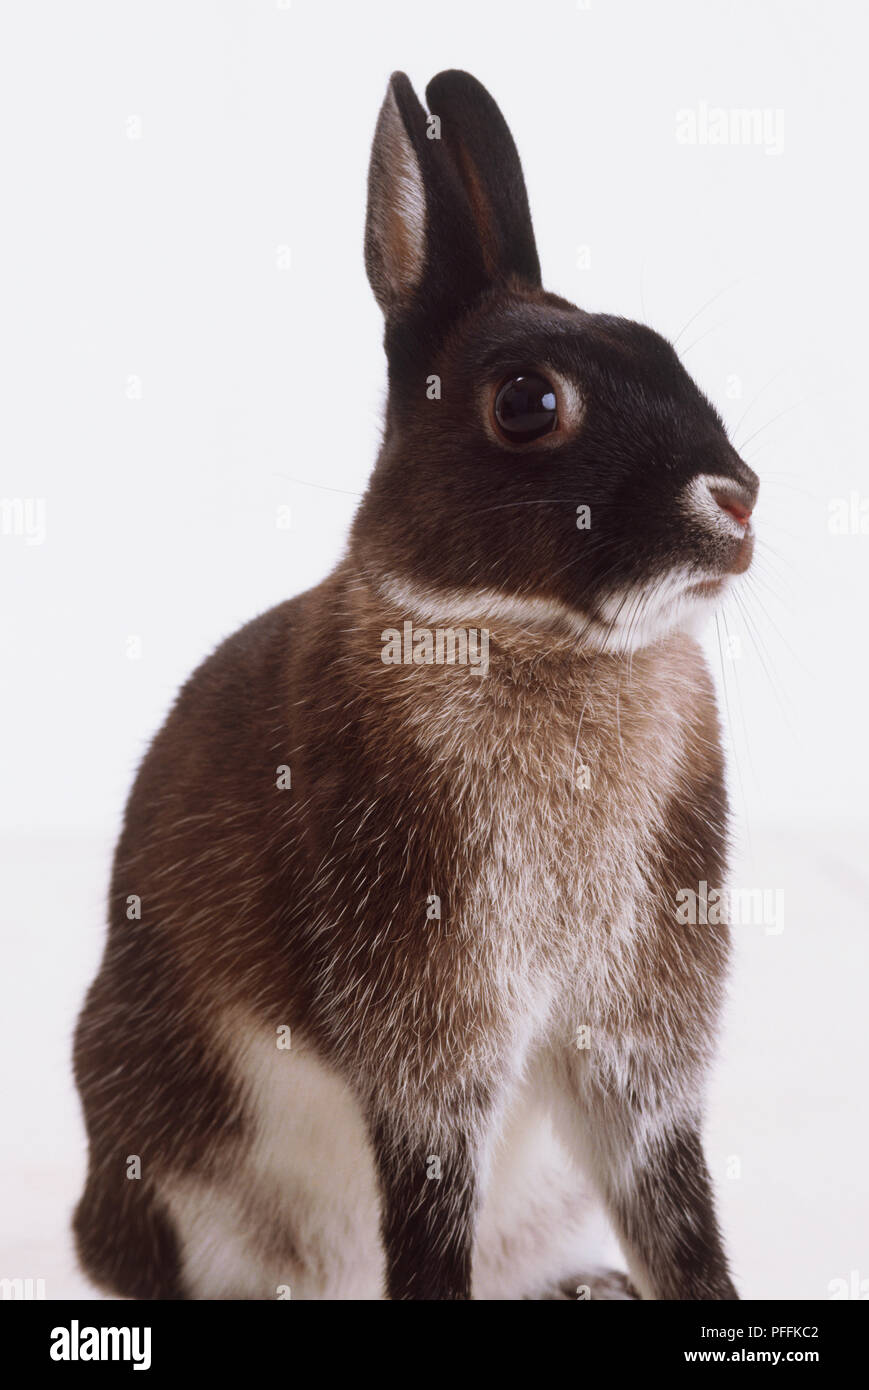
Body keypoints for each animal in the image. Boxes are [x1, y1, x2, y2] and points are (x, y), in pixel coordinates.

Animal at [73, 69, 758, 1301]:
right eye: (526, 403)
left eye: (658, 347)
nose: (736, 499)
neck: (530, 635)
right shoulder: (427, 1039)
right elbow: (434, 1211)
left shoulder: (636, 1039)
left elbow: (673, 1210)